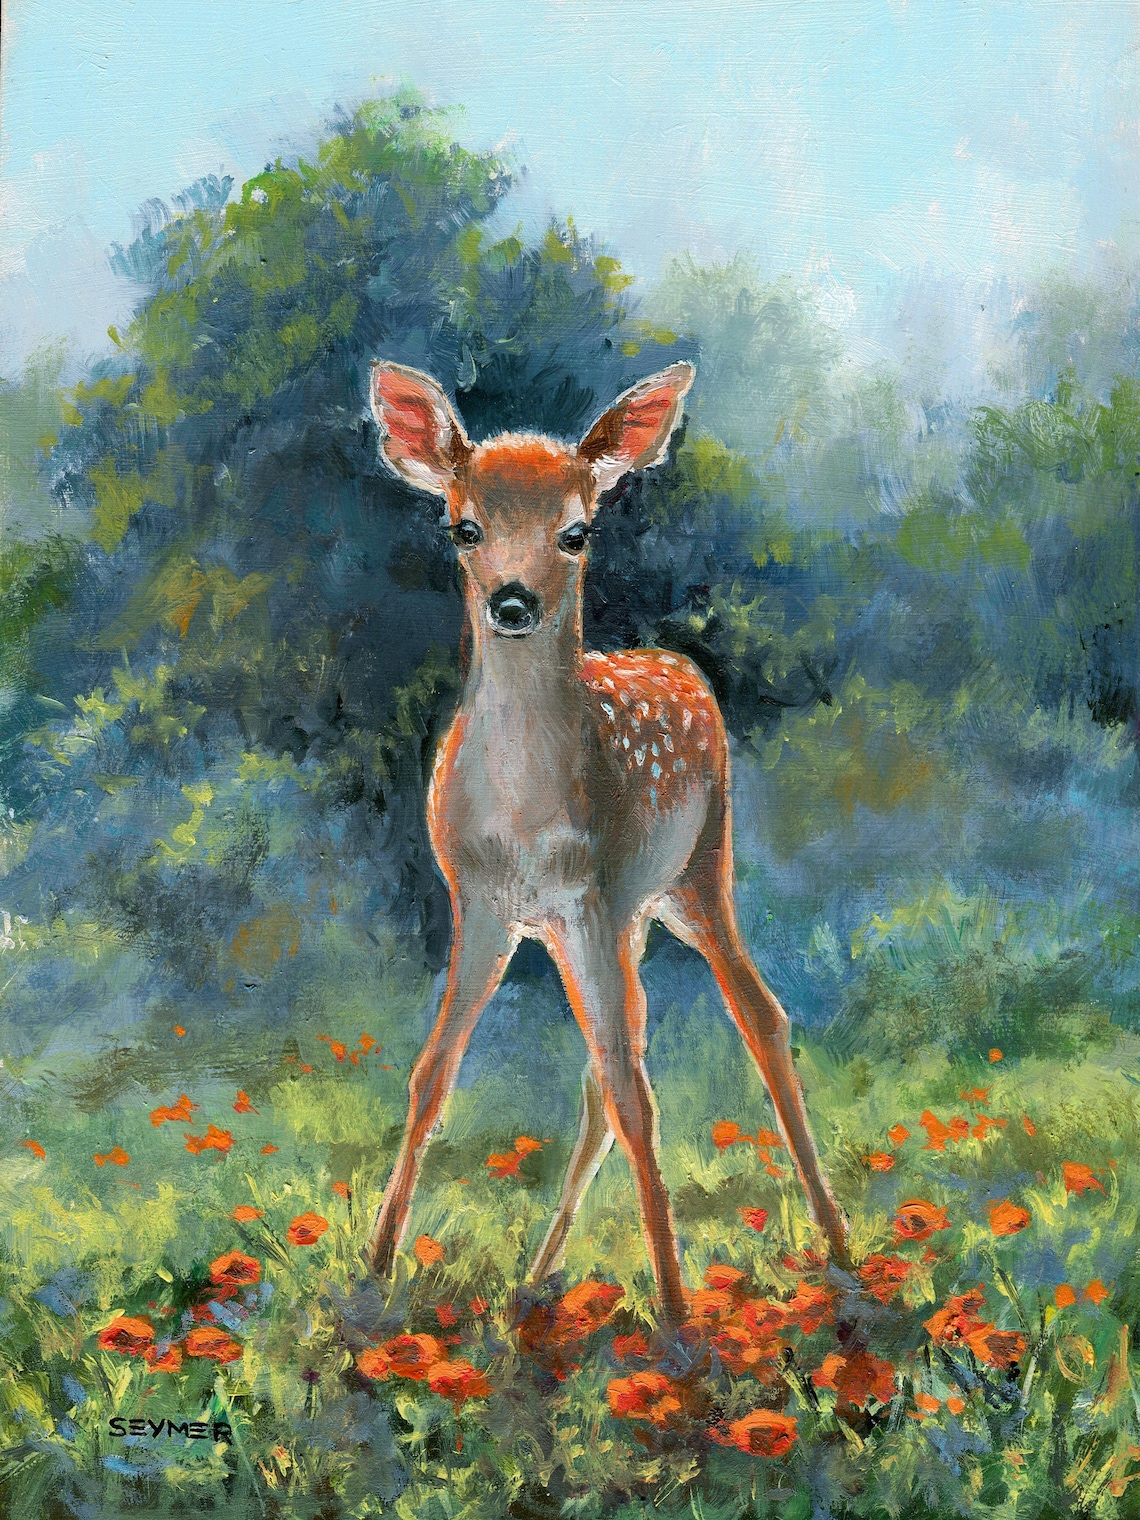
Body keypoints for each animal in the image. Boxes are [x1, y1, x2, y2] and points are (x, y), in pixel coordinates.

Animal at [365, 359, 848, 1324]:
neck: (524, 821)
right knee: (607, 1066)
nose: (513, 600)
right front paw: (371, 1275)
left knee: (756, 1018)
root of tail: (677, 659)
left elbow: (635, 1090)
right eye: (464, 526)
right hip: (619, 917)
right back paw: (537, 1274)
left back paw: (843, 1250)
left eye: (576, 531)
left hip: (696, 871)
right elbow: (434, 1072)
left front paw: (677, 1313)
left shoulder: (587, 899)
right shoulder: (482, 904)